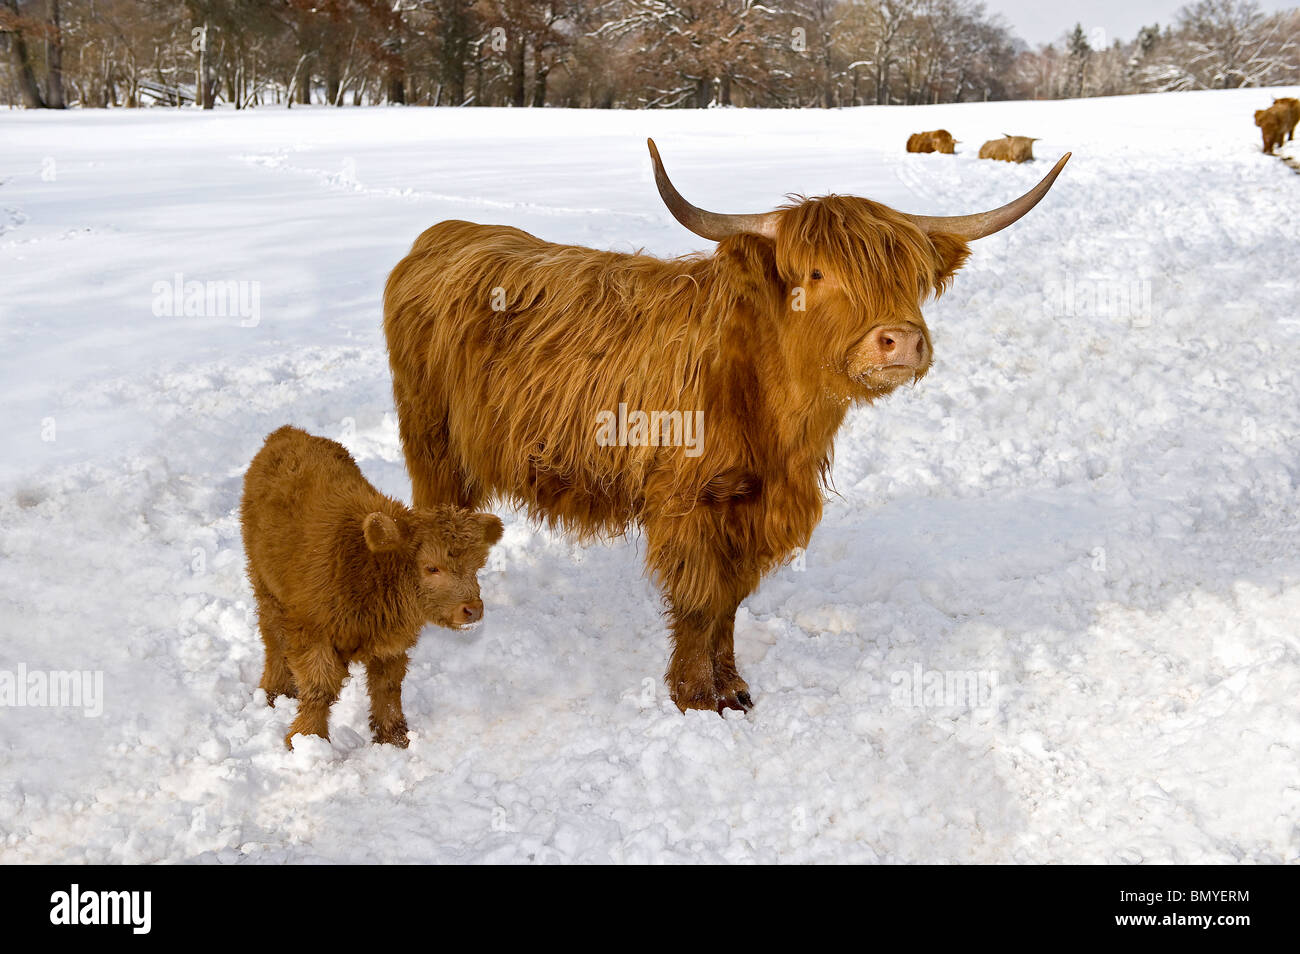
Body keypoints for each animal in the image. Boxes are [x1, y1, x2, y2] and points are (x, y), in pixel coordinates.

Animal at [383, 139, 1070, 714]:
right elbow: (698, 600)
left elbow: (729, 603)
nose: (899, 340)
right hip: (432, 442)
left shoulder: (752, 510)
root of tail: (445, 235)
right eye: (816, 273)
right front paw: (693, 697)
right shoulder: (689, 504)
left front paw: (733, 686)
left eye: (912, 278)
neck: (776, 418)